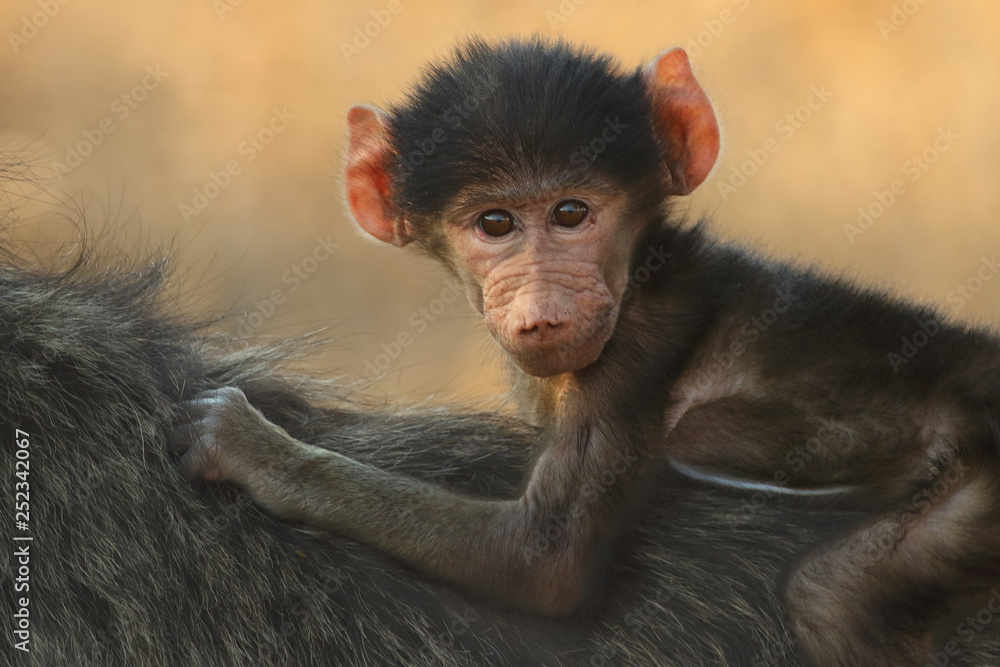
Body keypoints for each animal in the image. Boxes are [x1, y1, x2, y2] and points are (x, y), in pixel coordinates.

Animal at [171, 38, 1000, 665]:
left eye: (572, 213)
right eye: (495, 223)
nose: (545, 307)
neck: (640, 270)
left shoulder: (632, 352)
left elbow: (546, 562)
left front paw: (257, 449)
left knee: (830, 598)